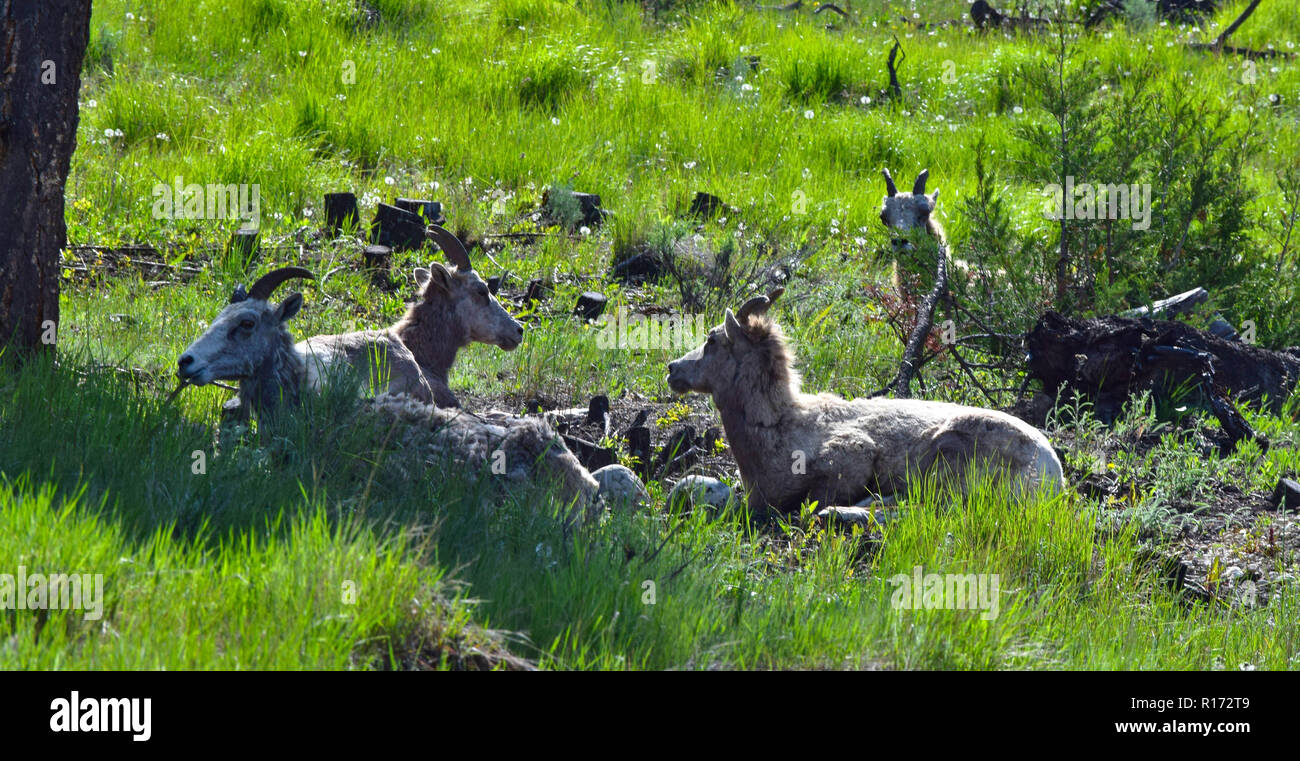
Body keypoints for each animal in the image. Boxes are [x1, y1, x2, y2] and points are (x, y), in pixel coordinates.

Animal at [665, 289, 1065, 515]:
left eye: (712, 340)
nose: (673, 369)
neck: (778, 430)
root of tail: (1053, 475)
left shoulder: (852, 455)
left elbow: (812, 501)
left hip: (946, 459)